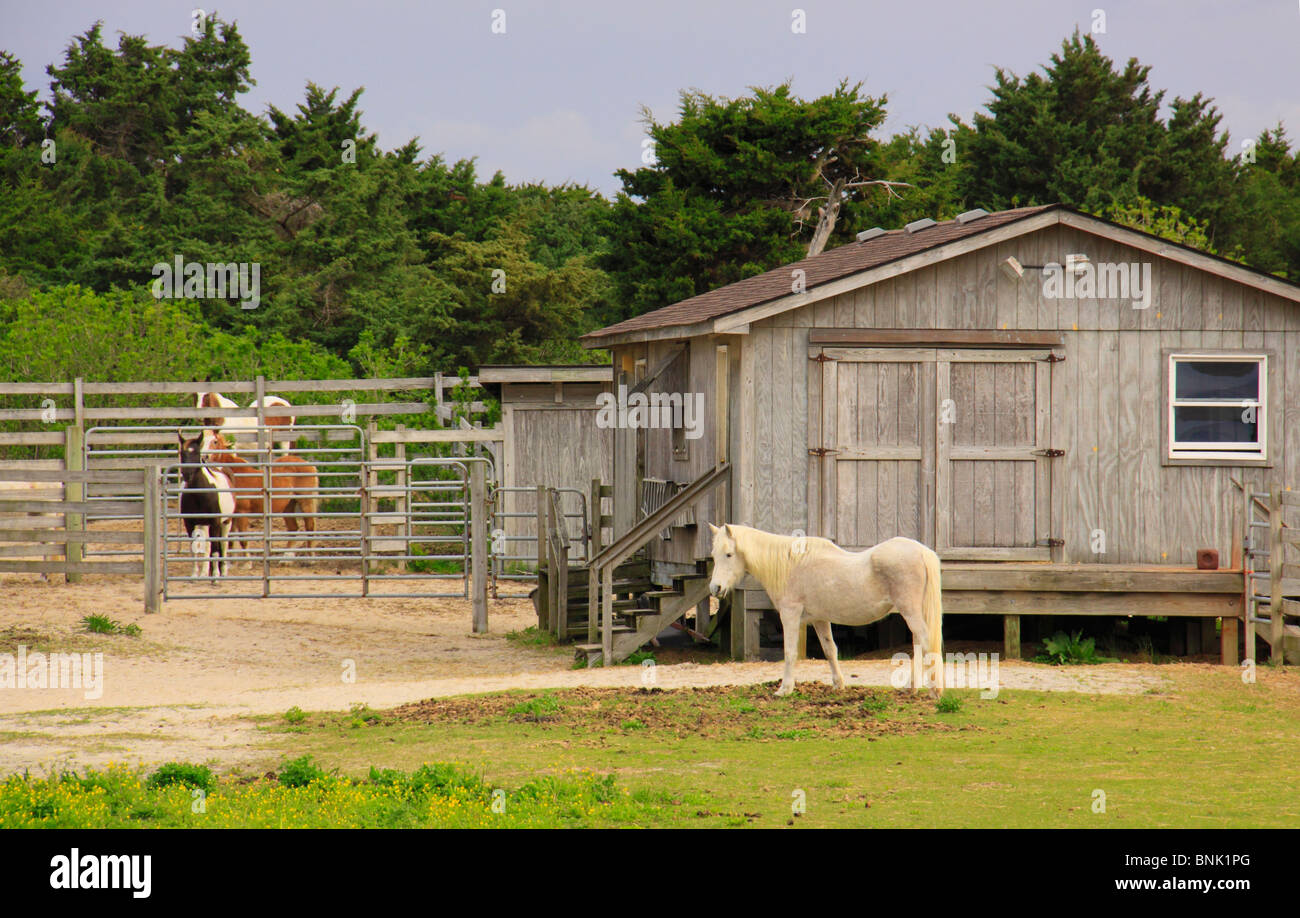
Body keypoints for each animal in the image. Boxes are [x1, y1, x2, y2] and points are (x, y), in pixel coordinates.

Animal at [176, 433, 235, 581]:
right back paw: (204, 572)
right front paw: (194, 575)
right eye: (182, 453)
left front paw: (215, 576)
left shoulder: (215, 522)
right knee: (206, 544)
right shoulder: (189, 523)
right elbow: (194, 548)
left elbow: (215, 549)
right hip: (203, 524)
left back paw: (222, 571)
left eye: (196, 452)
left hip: (226, 522)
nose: (187, 474)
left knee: (223, 544)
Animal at [707, 524, 944, 696]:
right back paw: (912, 687)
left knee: (926, 641)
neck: (791, 565)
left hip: (910, 611)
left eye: (728, 554)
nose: (715, 588)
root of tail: (921, 552)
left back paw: (934, 691)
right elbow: (830, 650)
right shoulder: (820, 619)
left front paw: (784, 689)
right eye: (713, 555)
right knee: (918, 644)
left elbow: (790, 652)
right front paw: (838, 685)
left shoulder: (790, 615)